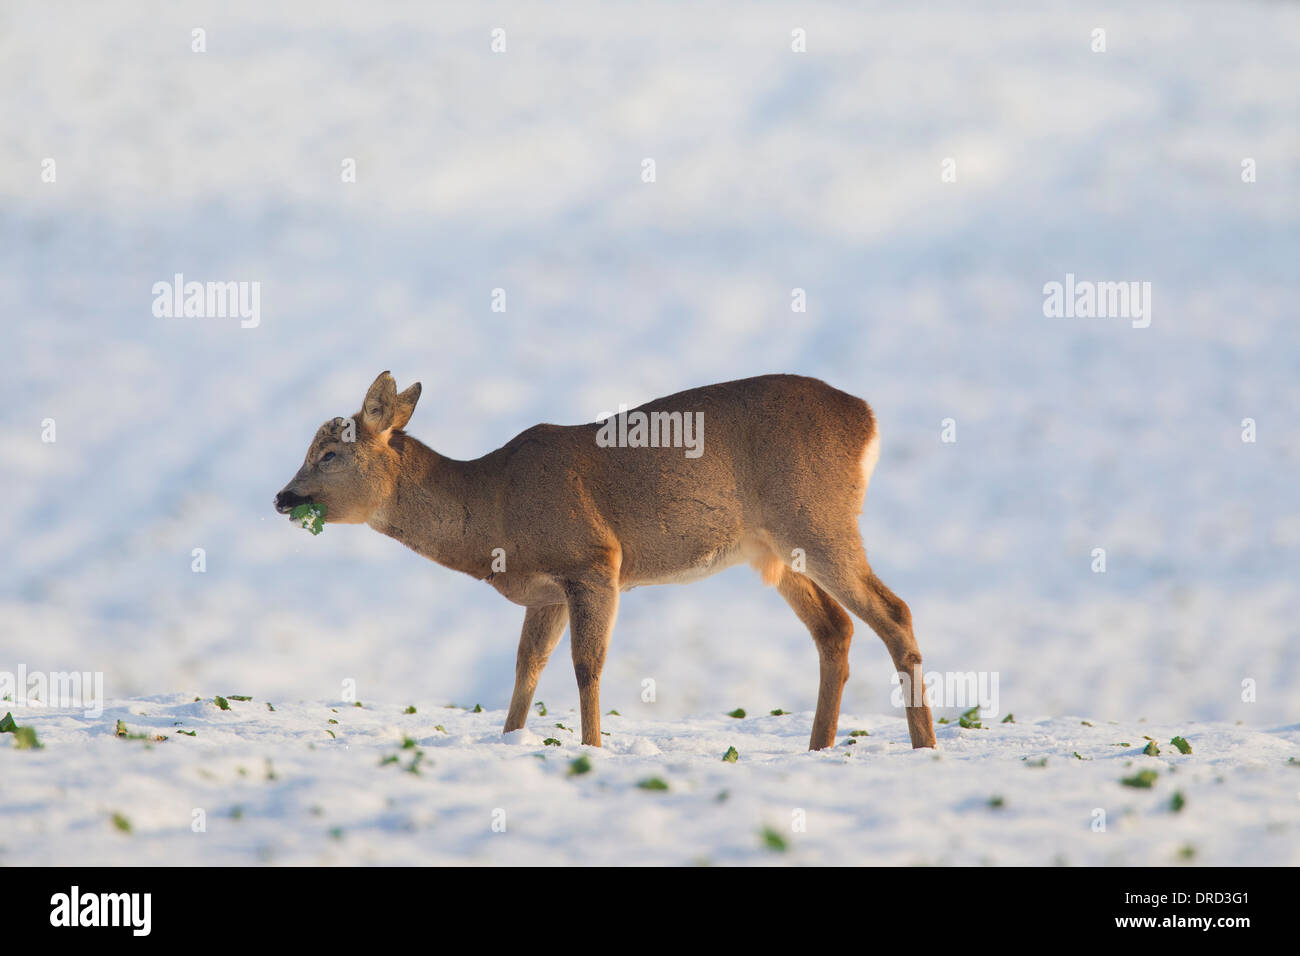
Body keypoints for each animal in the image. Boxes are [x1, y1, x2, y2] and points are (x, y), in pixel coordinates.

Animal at [274, 371, 936, 752]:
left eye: (329, 453)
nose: (282, 496)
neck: (491, 507)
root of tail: (867, 419)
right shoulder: (546, 591)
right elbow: (527, 668)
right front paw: (510, 742)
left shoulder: (592, 560)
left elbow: (586, 667)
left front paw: (592, 750)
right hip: (772, 550)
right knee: (836, 627)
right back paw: (819, 748)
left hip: (815, 516)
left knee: (894, 611)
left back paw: (924, 746)